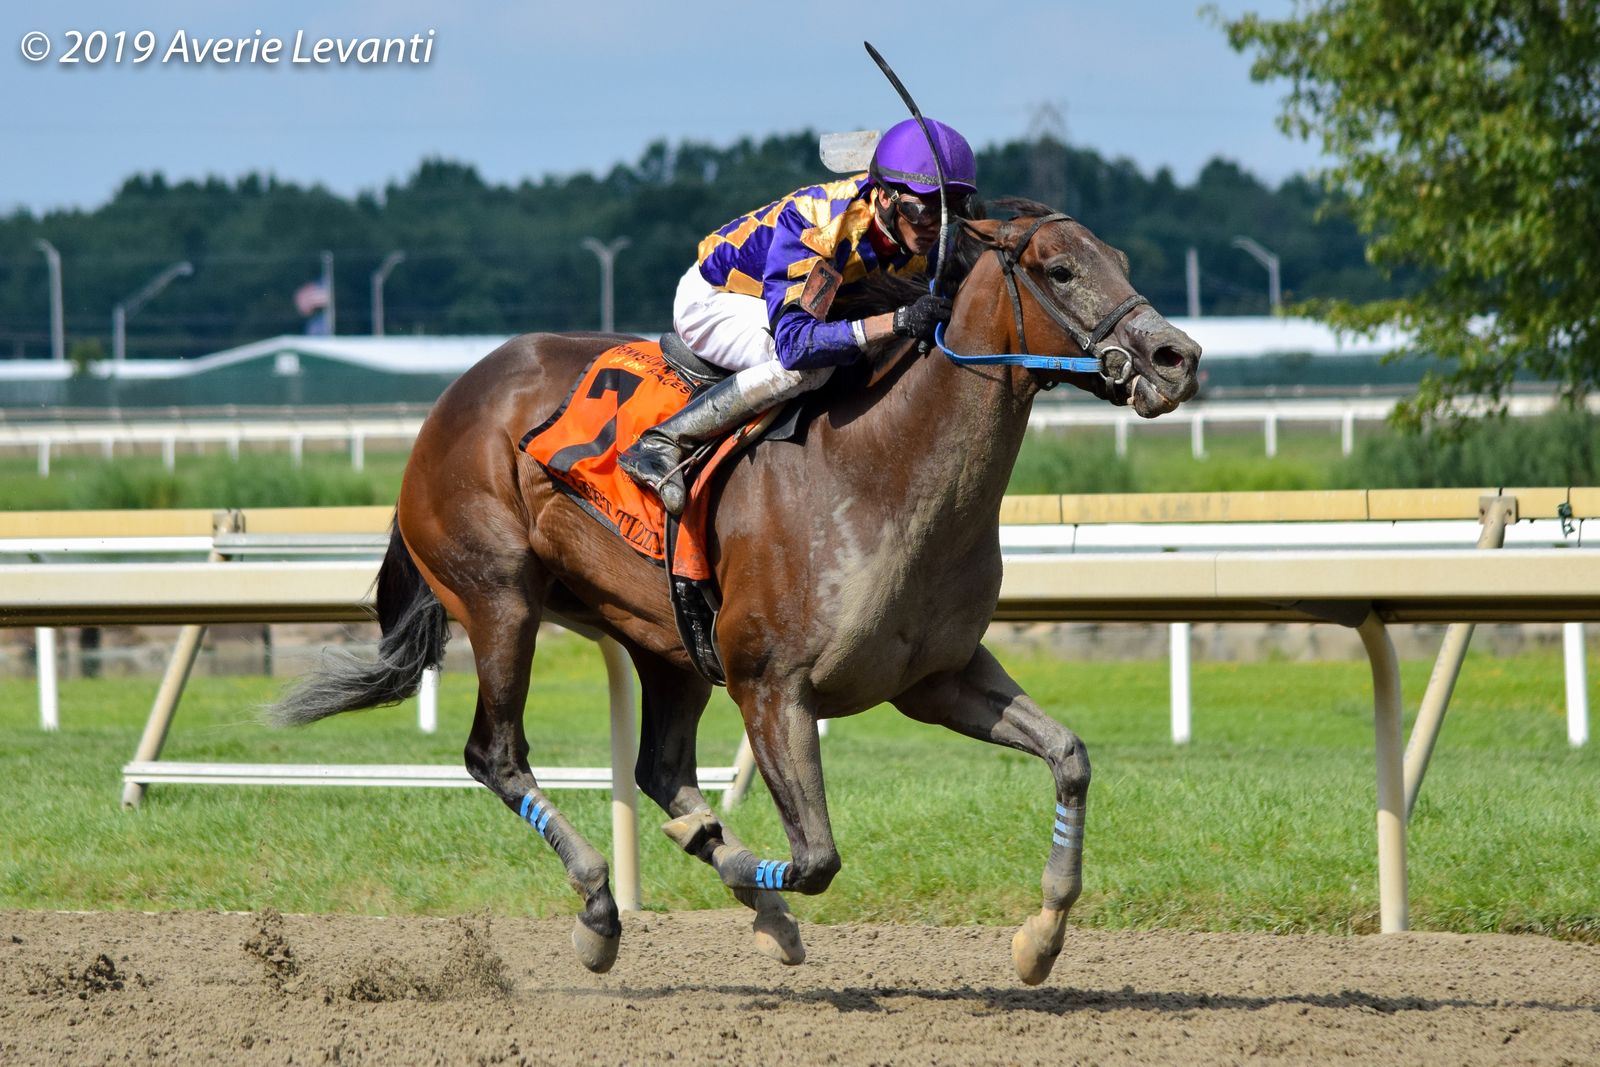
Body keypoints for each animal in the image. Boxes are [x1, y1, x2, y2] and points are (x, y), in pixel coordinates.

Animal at [269, 198, 1202, 985]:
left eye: (1118, 259)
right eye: (1060, 269)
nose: (1177, 357)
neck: (880, 467)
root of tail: (452, 399)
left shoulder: (937, 677)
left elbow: (1069, 755)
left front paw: (1040, 938)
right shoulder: (771, 684)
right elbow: (818, 858)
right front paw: (756, 894)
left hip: (663, 638)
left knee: (658, 767)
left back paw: (722, 878)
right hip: (500, 601)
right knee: (496, 754)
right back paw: (603, 908)